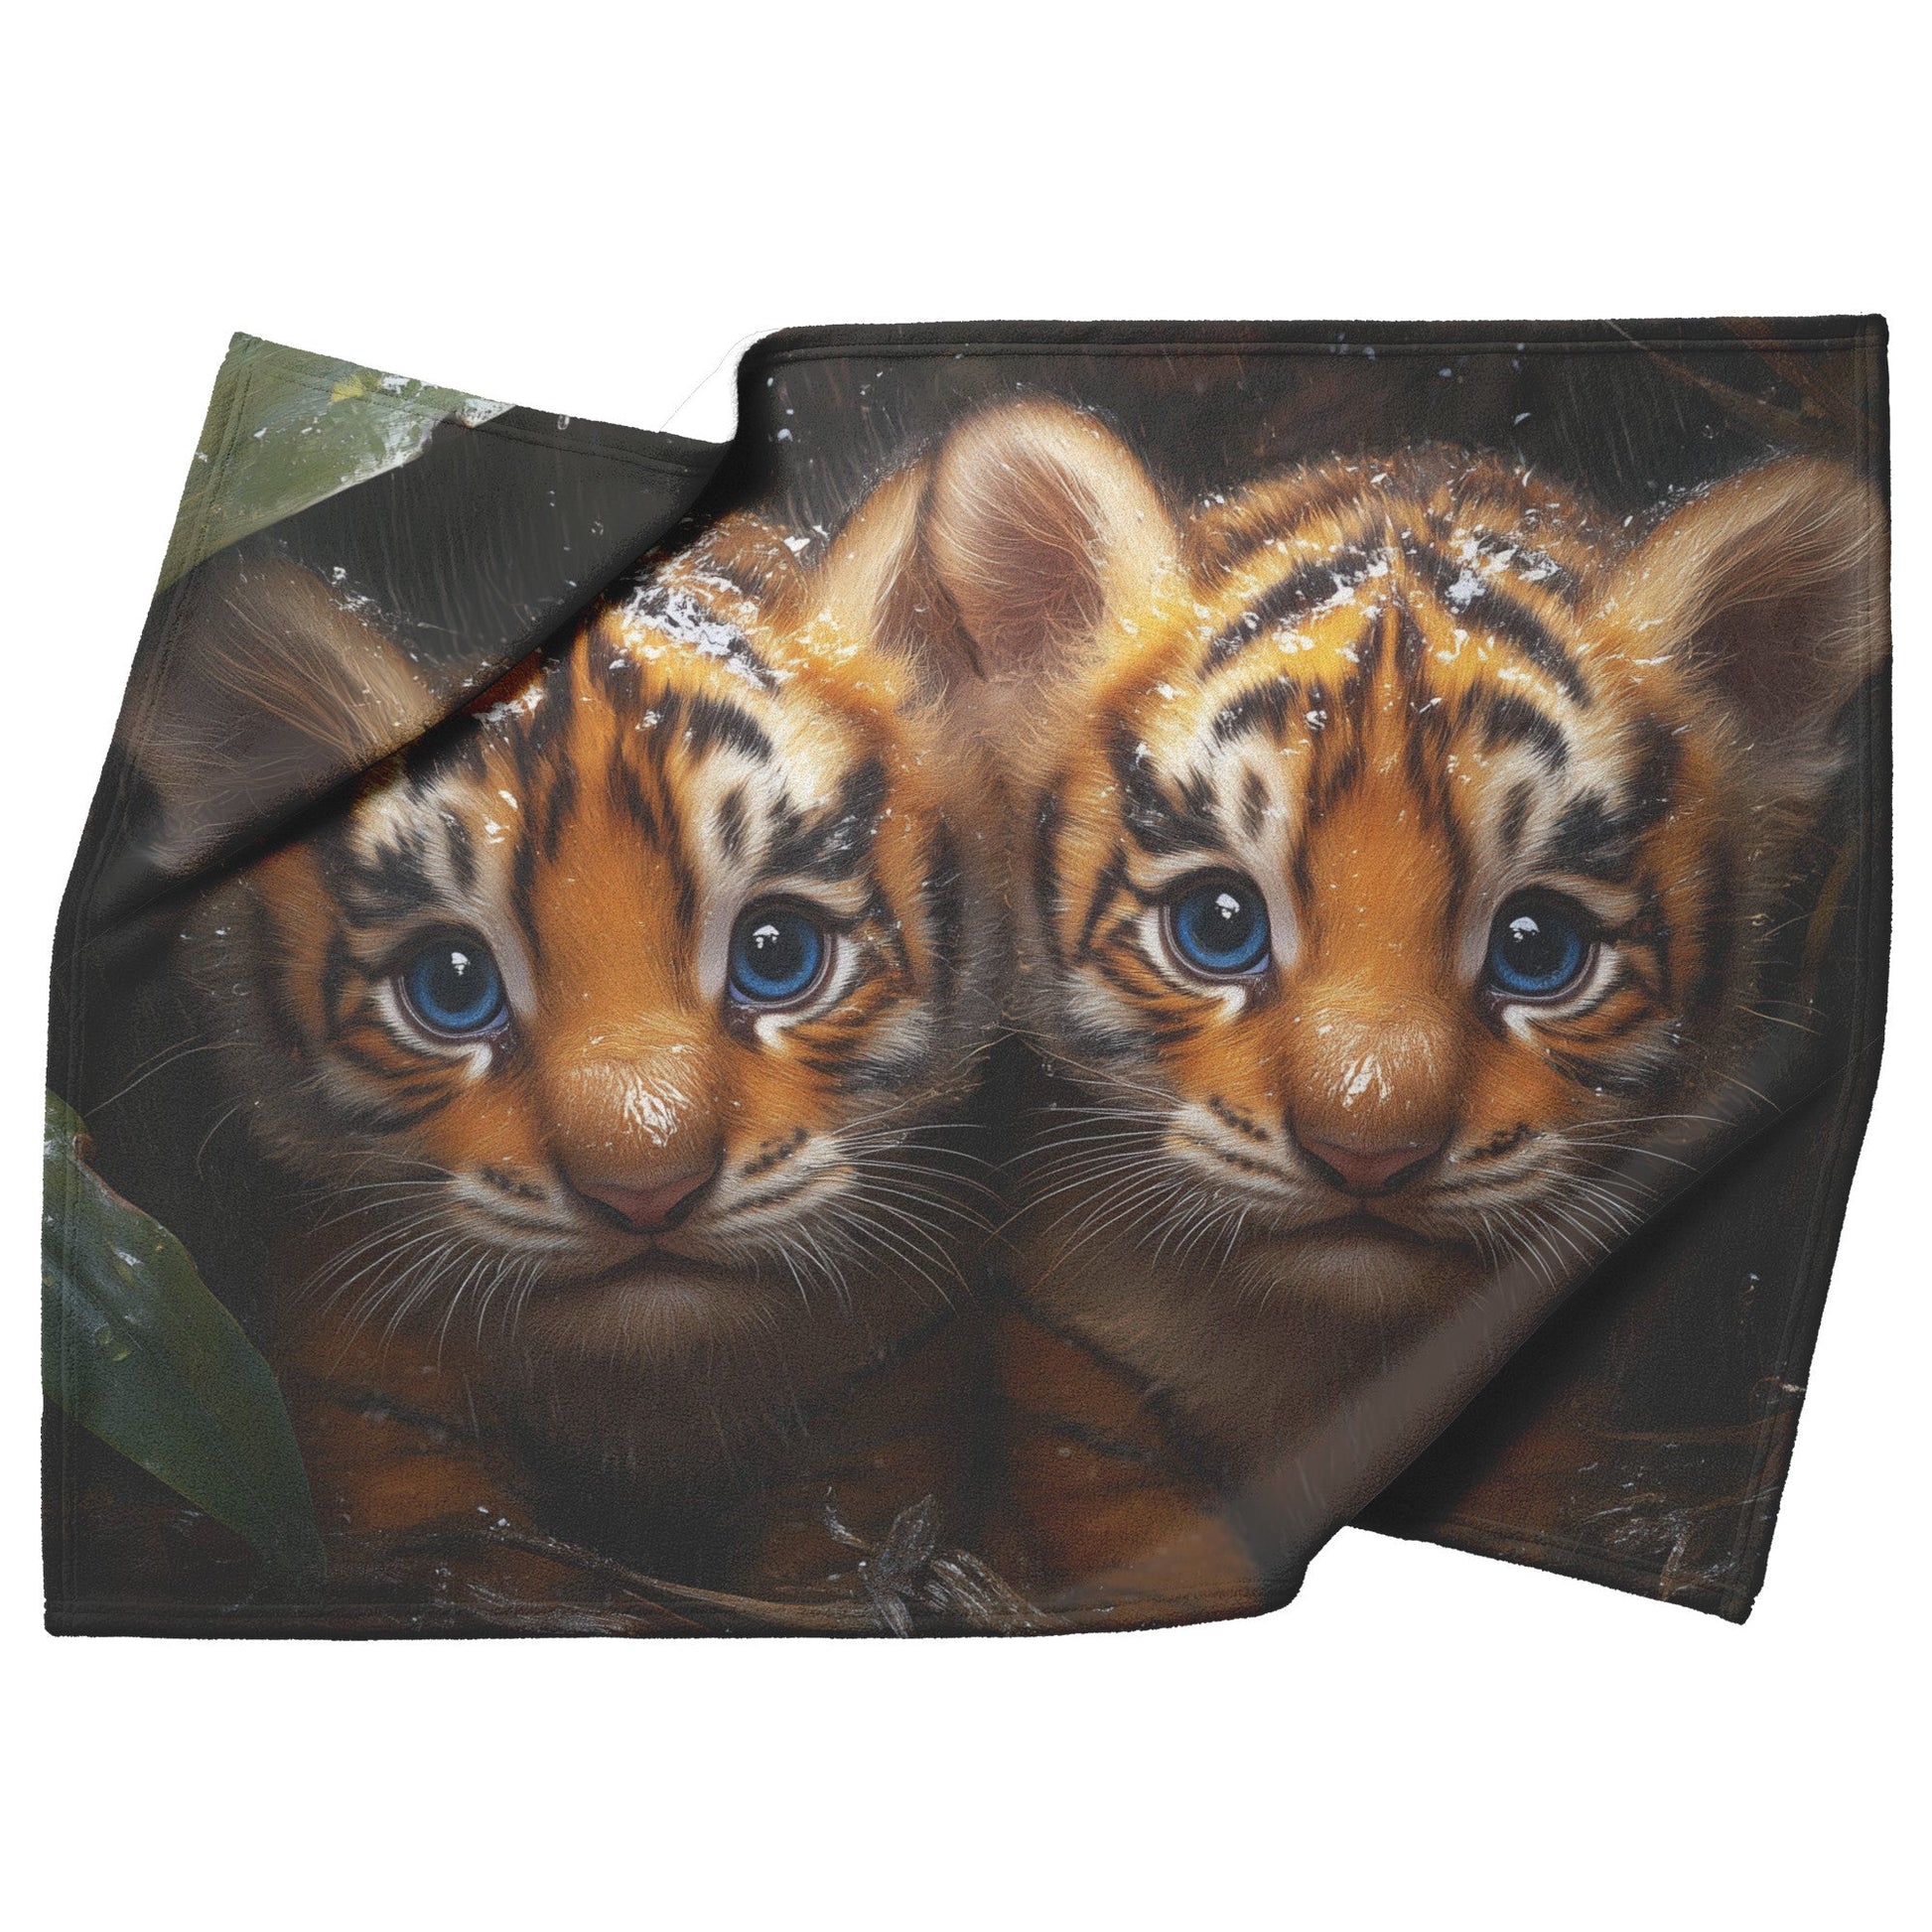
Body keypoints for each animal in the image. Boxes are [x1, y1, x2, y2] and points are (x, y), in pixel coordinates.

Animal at [119, 458, 1013, 1622]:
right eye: (451, 986)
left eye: (778, 953)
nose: (644, 1191)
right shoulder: (364, 1388)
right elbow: (462, 1551)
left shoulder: (895, 1389)